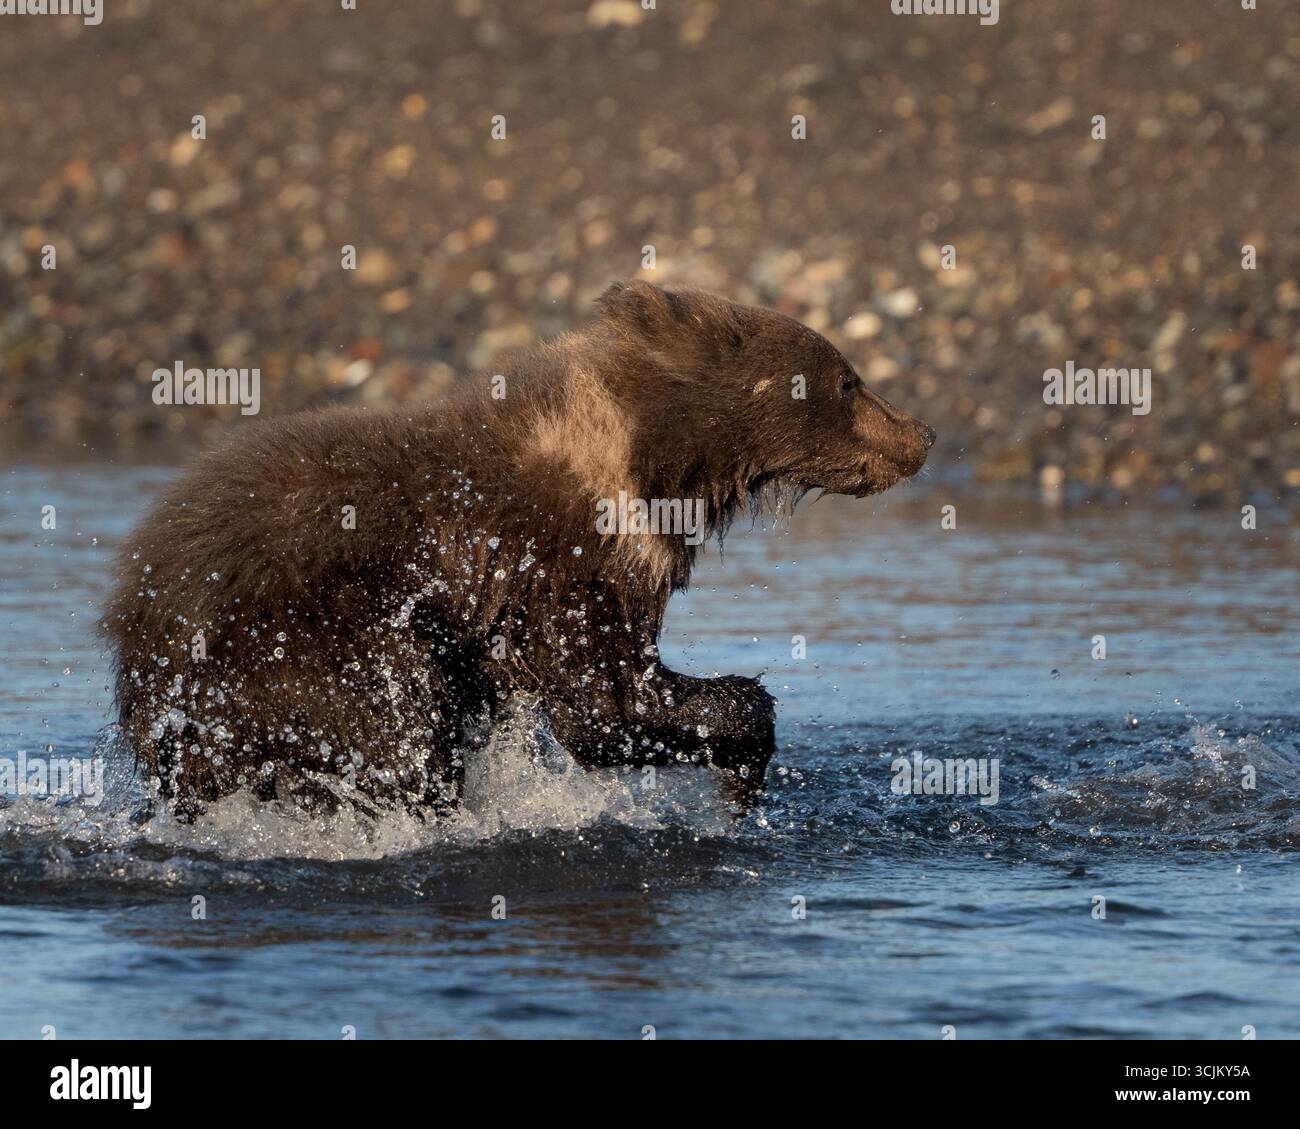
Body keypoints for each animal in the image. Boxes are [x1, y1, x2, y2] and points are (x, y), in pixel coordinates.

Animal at [103, 281, 935, 819]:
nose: (921, 433)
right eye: (849, 380)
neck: (653, 461)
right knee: (400, 719)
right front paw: (743, 763)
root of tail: (130, 613)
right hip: (292, 634)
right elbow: (607, 703)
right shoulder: (564, 563)